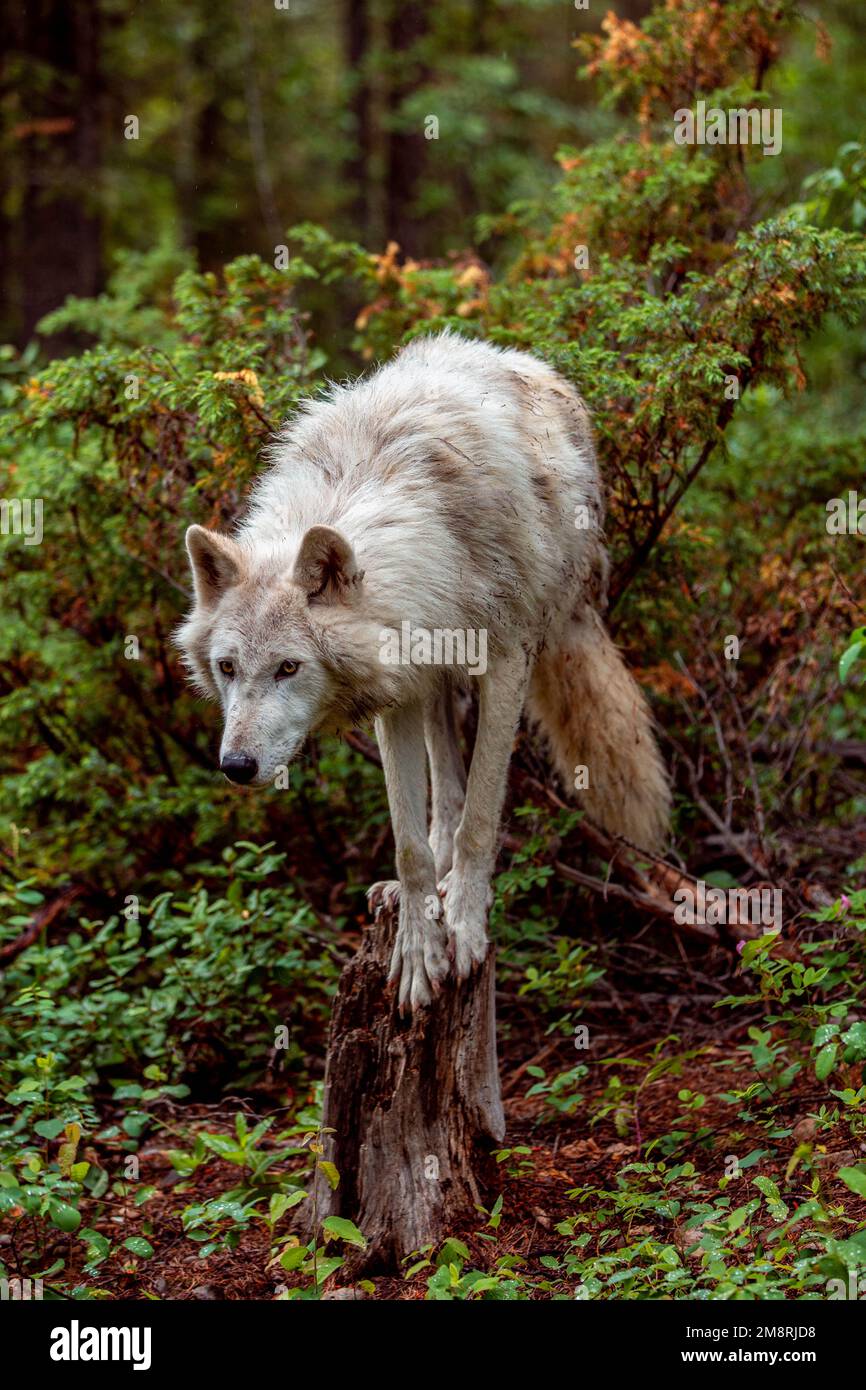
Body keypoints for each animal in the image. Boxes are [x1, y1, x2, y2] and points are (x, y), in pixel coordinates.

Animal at [176, 333, 670, 1009]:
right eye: (227, 667)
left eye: (288, 668)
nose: (236, 766)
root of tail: (512, 356)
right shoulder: (396, 693)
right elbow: (411, 842)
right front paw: (418, 944)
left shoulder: (507, 662)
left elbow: (480, 820)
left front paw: (461, 925)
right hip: (427, 683)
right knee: (443, 799)